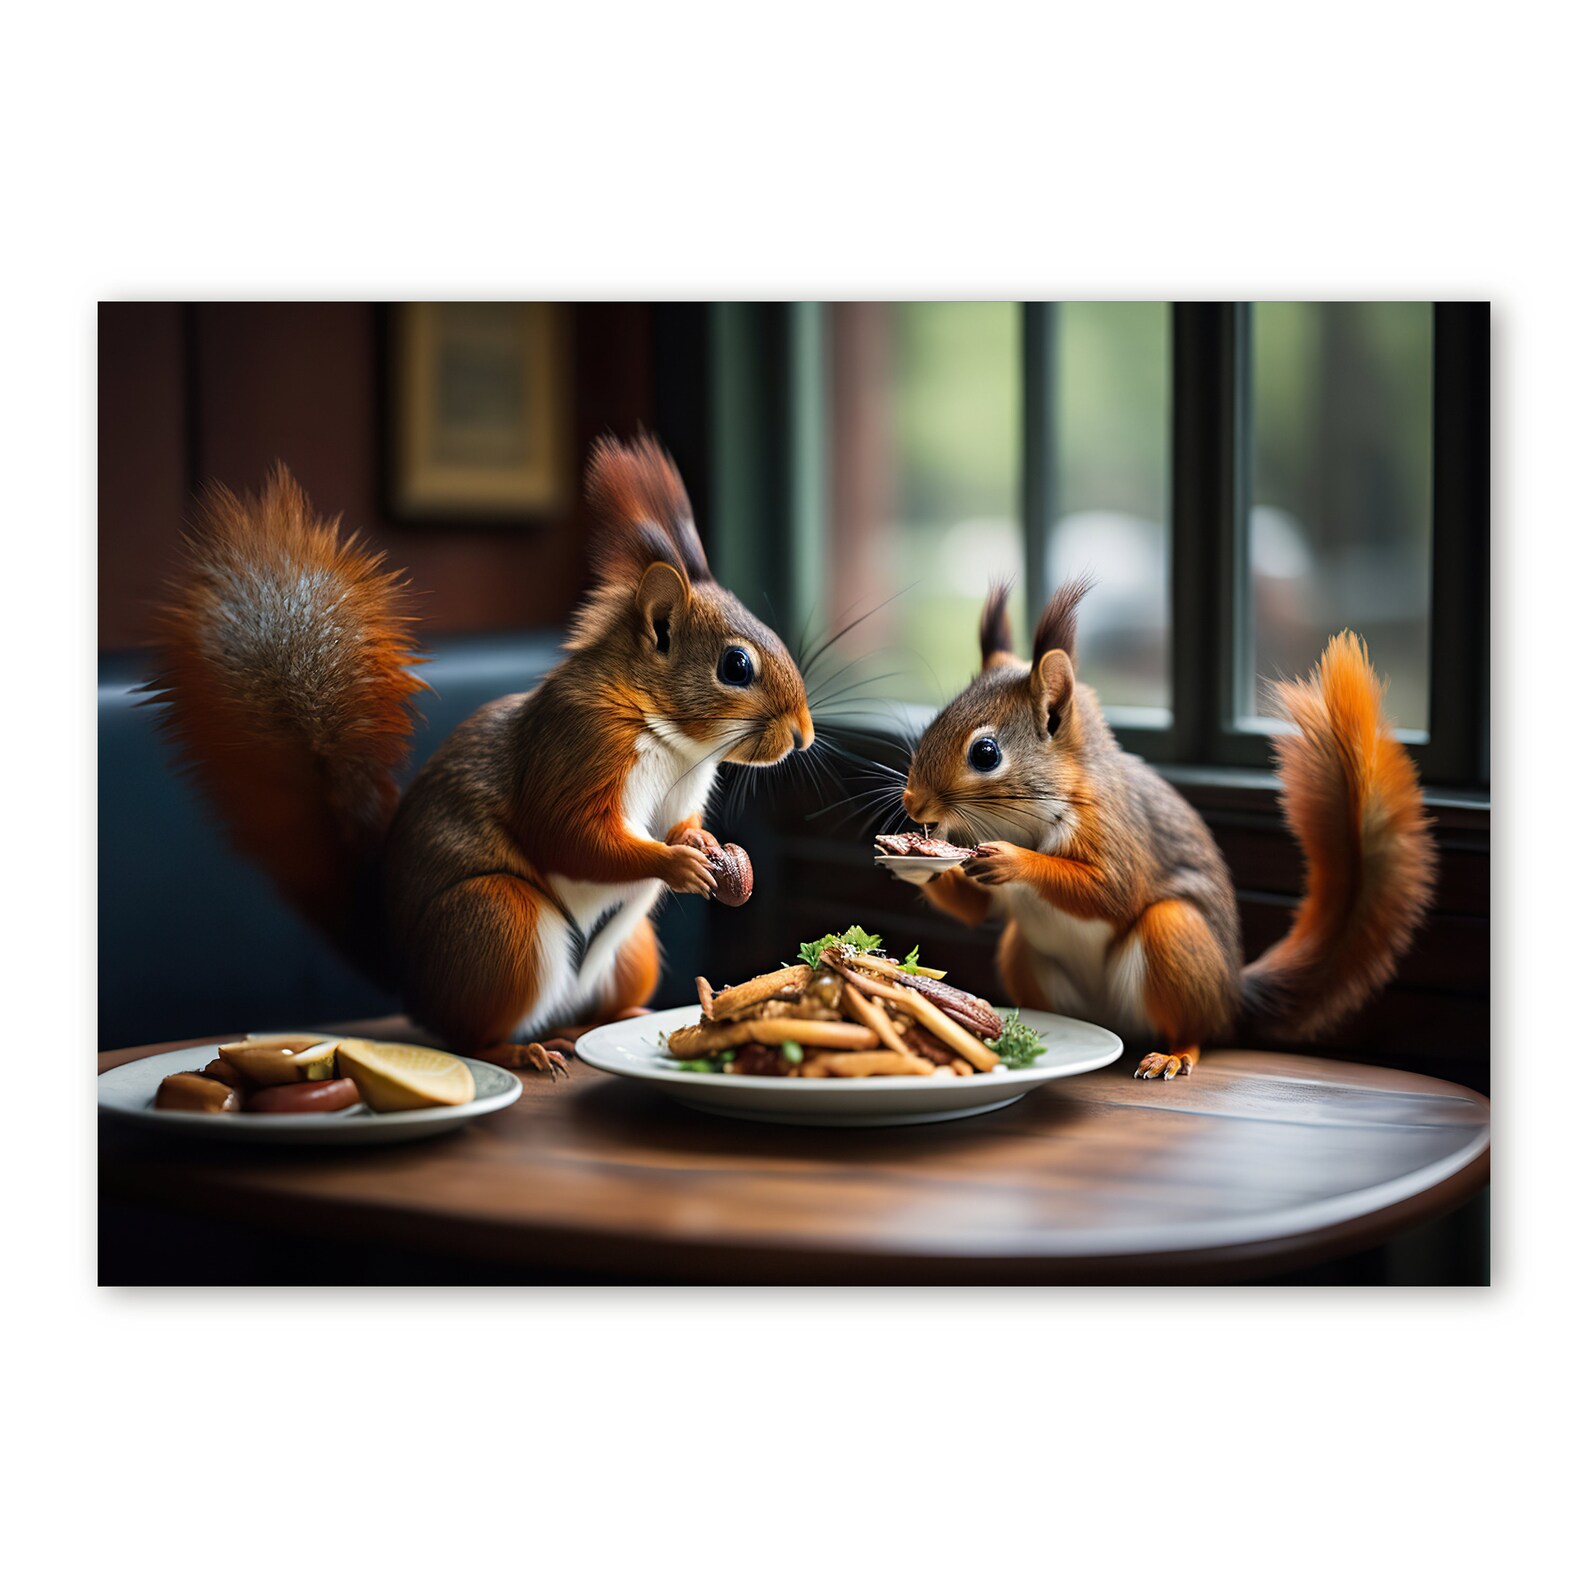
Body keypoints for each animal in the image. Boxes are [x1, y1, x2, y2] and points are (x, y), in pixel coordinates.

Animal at [145, 436, 814, 1074]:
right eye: (736, 665)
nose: (803, 735)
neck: (676, 742)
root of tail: (411, 982)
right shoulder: (577, 748)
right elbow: (570, 837)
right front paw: (676, 864)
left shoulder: (680, 789)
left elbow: (675, 824)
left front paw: (701, 844)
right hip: (496, 922)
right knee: (472, 1035)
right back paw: (521, 1052)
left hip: (631, 952)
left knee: (587, 1006)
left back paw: (614, 1020)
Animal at [895, 577, 1437, 1079]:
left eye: (985, 754)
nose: (913, 803)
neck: (1030, 816)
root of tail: (1230, 999)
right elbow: (975, 910)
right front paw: (911, 865)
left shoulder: (1115, 828)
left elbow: (1111, 891)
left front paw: (1012, 859)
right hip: (1021, 952)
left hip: (1176, 938)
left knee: (1193, 1023)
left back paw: (1174, 1055)